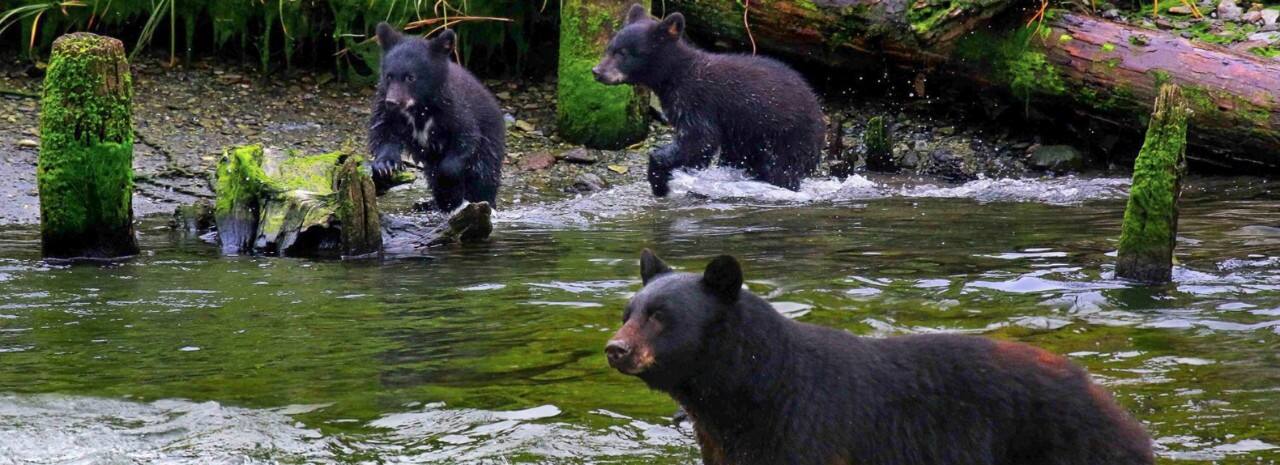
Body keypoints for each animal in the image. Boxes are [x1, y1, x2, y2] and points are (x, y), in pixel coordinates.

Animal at [368, 23, 505, 212]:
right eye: (389, 75)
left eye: (410, 77)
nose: (392, 102)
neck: (419, 107)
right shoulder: (384, 104)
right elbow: (383, 130)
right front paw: (385, 165)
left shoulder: (454, 109)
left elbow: (465, 138)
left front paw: (446, 180)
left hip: (490, 142)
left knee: (483, 176)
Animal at [592, 4, 825, 197]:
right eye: (609, 48)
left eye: (623, 53)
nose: (597, 71)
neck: (676, 74)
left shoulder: (697, 101)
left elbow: (701, 138)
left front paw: (660, 181)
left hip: (789, 137)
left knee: (782, 170)